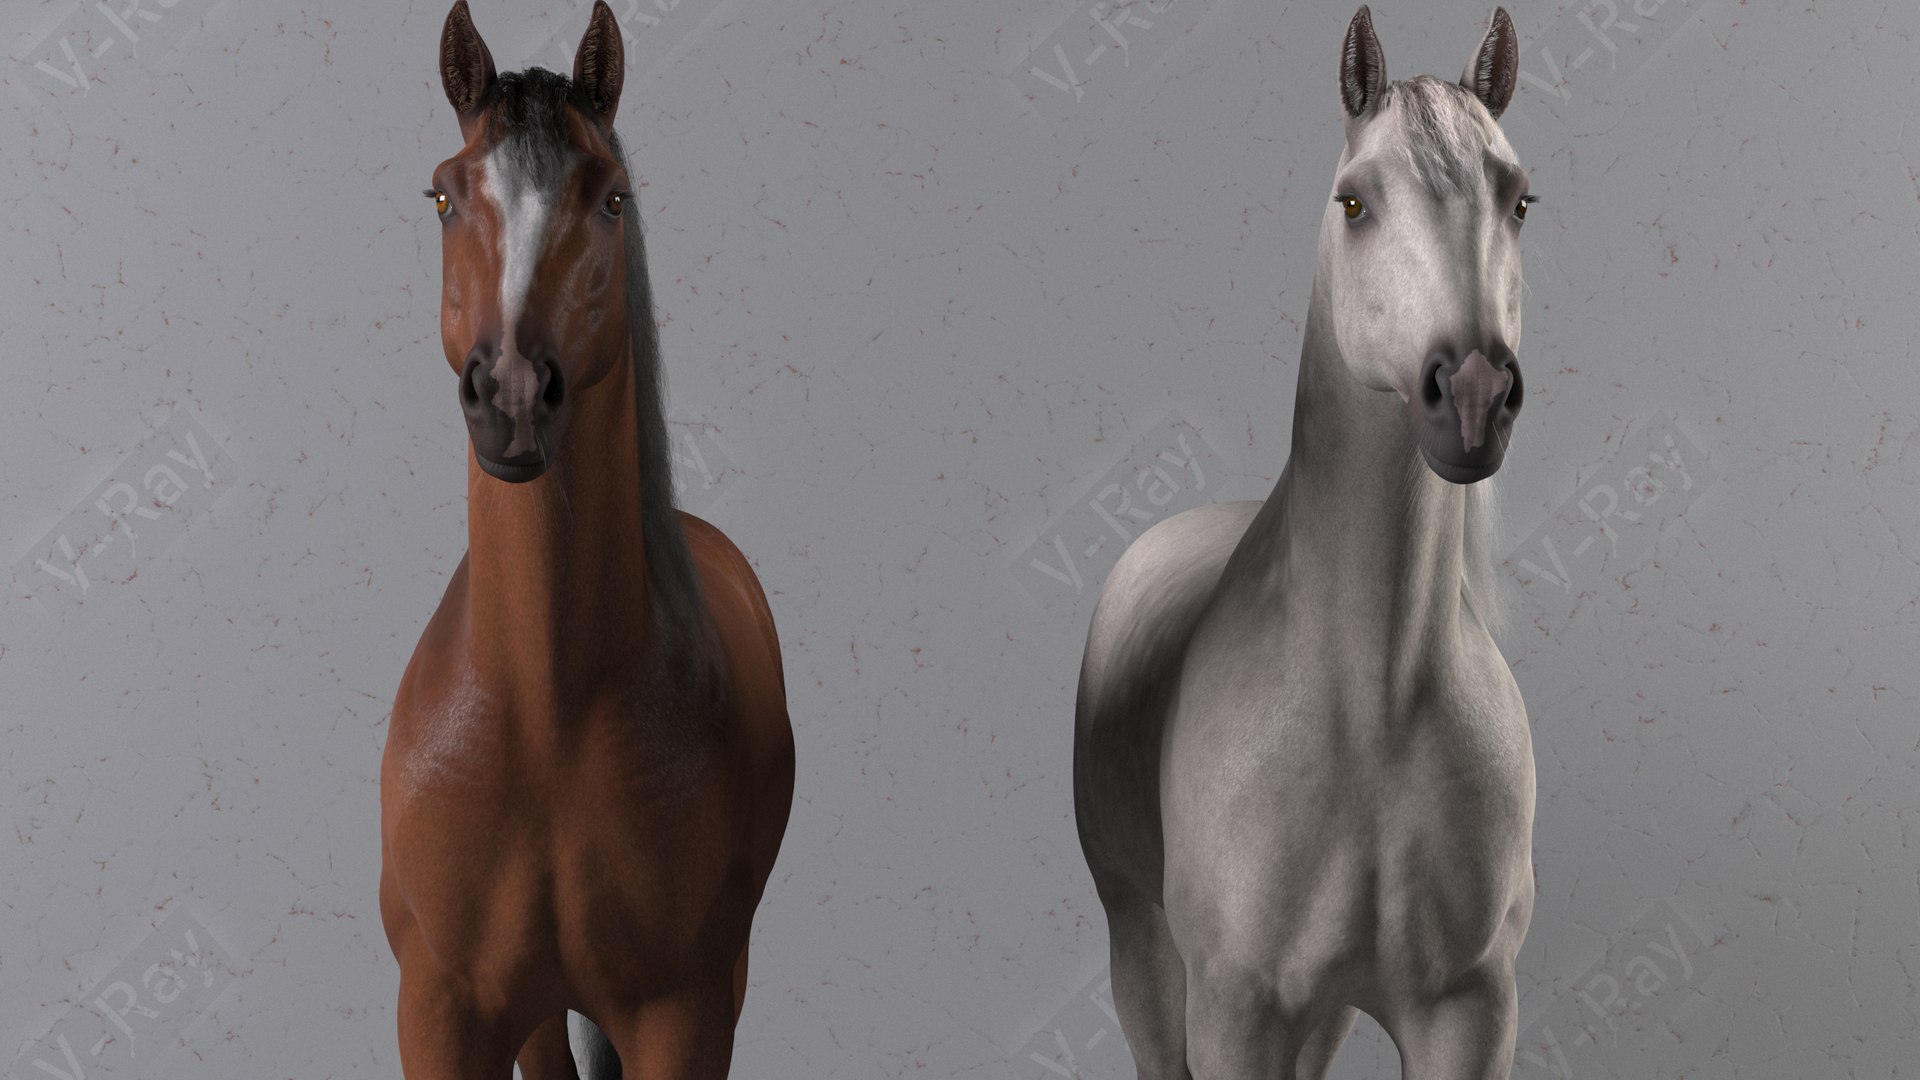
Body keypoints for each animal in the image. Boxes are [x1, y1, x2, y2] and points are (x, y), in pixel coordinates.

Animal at [378, 4, 794, 1077]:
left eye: (611, 199)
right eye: (442, 197)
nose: (514, 396)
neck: (543, 712)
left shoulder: (683, 1008)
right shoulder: (441, 1008)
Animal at [1072, 8, 1535, 1078]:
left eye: (1520, 201)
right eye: (1355, 202)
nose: (1474, 394)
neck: (1373, 710)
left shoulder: (1469, 1008)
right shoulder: (1239, 1011)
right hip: (1138, 947)